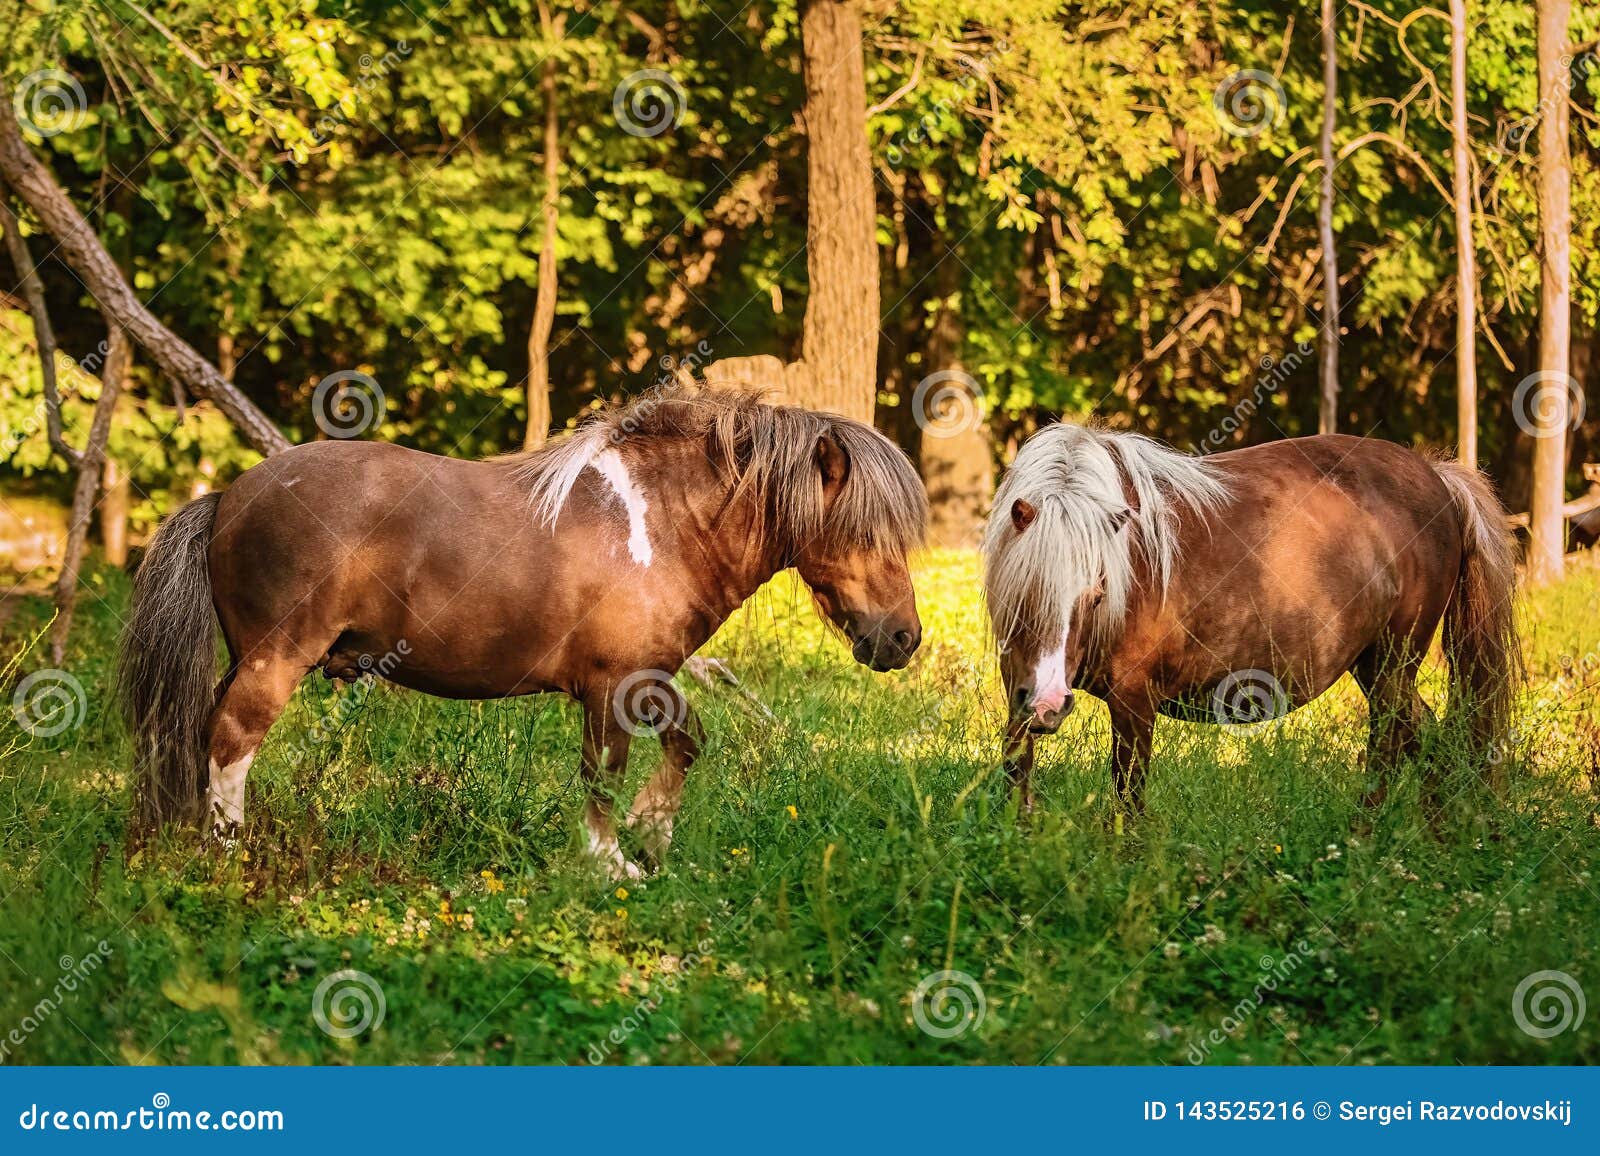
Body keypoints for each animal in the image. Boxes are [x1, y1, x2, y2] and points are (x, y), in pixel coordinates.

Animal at [119, 391, 927, 878]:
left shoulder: (648, 678)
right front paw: (610, 864)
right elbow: (603, 775)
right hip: (277, 660)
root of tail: (228, 496)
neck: (660, 525)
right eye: (863, 530)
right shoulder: (612, 686)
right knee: (231, 740)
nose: (902, 639)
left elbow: (689, 742)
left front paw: (654, 836)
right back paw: (228, 855)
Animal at [982, 423, 1521, 814]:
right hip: (1374, 667)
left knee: (1388, 748)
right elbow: (1016, 769)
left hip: (1393, 664)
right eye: (1027, 587)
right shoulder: (1017, 684)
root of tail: (1435, 474)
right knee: (1428, 742)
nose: (1049, 704)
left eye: (1096, 593)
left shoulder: (1134, 701)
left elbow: (1128, 795)